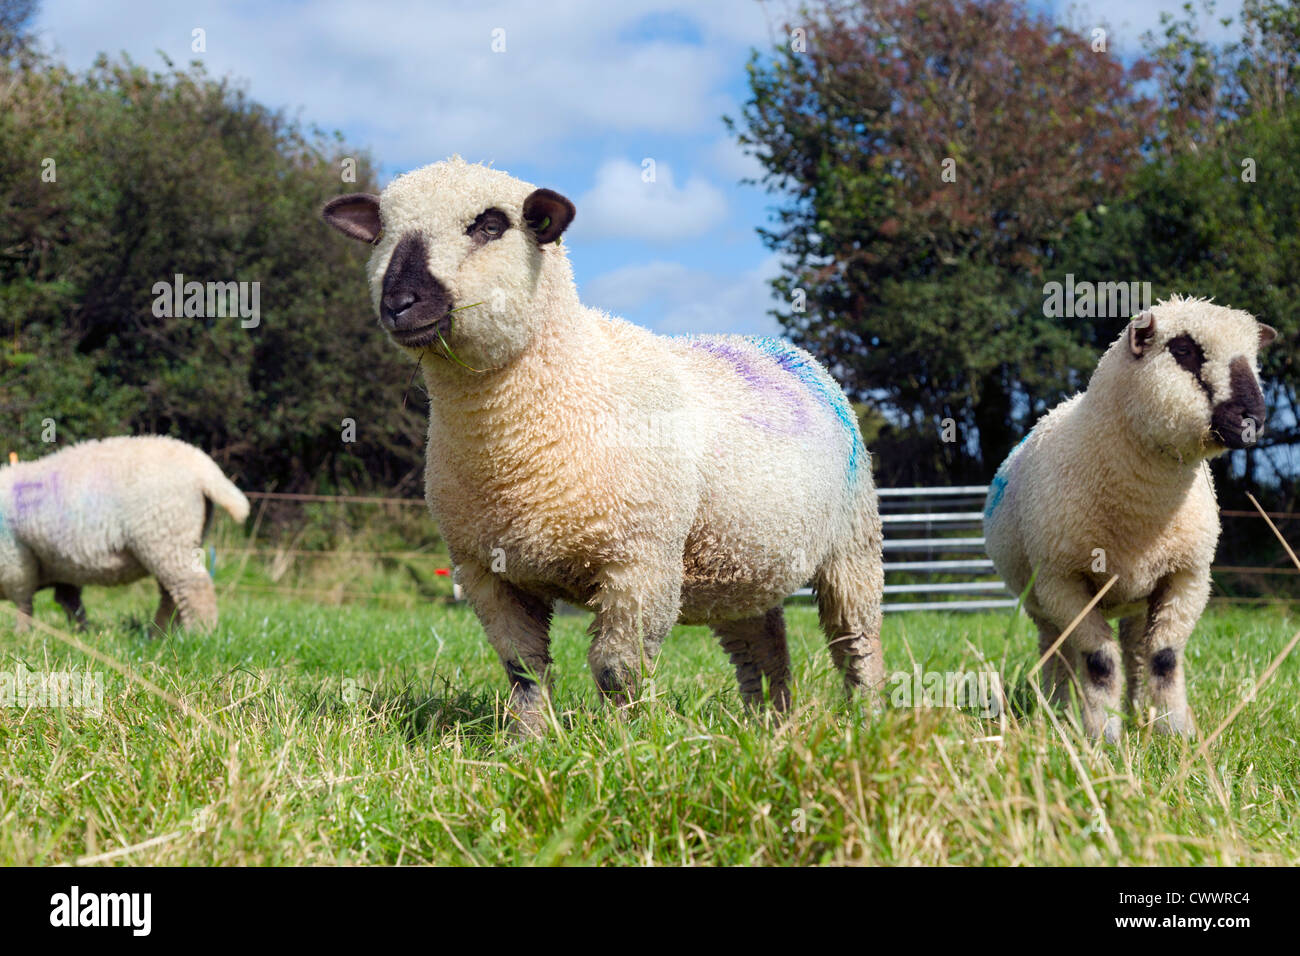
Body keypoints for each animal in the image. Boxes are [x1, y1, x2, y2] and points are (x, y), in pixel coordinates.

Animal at [0, 436, 249, 632]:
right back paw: (159, 635)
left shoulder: (17, 562)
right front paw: (81, 632)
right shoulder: (60, 565)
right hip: (177, 541)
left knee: (195, 587)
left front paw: (22, 634)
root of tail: (204, 468)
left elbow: (24, 602)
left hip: (166, 537)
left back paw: (199, 633)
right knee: (171, 595)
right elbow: (69, 601)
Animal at [322, 156, 884, 732]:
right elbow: (523, 669)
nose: (399, 303)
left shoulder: (641, 560)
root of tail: (778, 348)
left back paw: (866, 716)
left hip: (854, 544)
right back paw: (767, 723)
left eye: (491, 225)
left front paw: (625, 738)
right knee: (762, 643)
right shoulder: (486, 572)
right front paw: (531, 739)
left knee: (856, 643)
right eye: (382, 233)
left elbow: (618, 669)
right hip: (741, 559)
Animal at [984, 296, 1275, 740]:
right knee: (1057, 651)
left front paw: (1175, 734)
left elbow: (1165, 657)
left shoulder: (1187, 576)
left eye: (1254, 358)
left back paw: (1140, 716)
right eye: (1184, 350)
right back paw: (1056, 712)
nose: (1253, 420)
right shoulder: (1065, 582)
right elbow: (1098, 661)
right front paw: (1101, 735)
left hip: (1139, 597)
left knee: (1137, 649)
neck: (1143, 508)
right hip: (1040, 599)